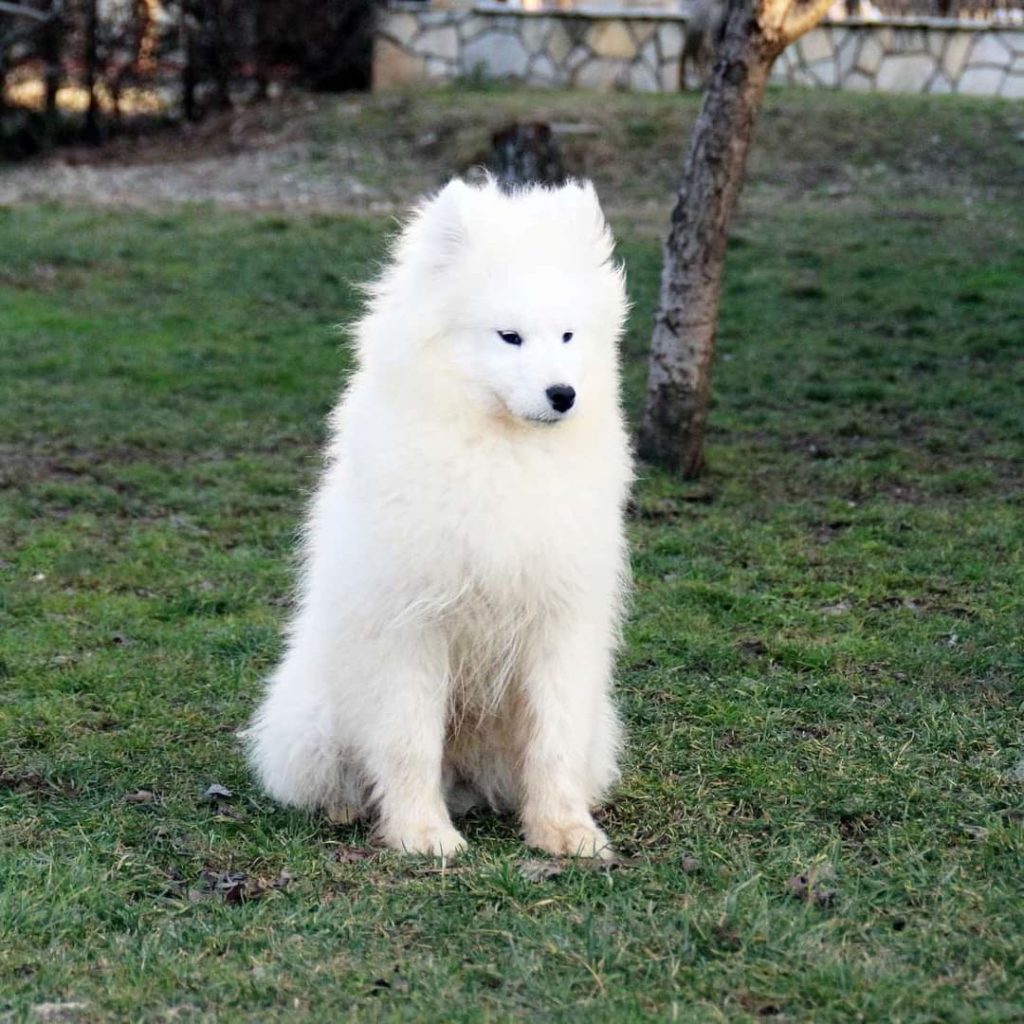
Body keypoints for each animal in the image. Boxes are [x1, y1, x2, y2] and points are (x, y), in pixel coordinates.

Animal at [247, 176, 630, 856]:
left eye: (567, 336)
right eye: (509, 336)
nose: (564, 395)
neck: (502, 454)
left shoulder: (559, 621)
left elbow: (552, 742)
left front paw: (564, 830)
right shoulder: (413, 626)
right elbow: (409, 743)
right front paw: (421, 834)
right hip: (315, 718)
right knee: (336, 774)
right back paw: (347, 809)